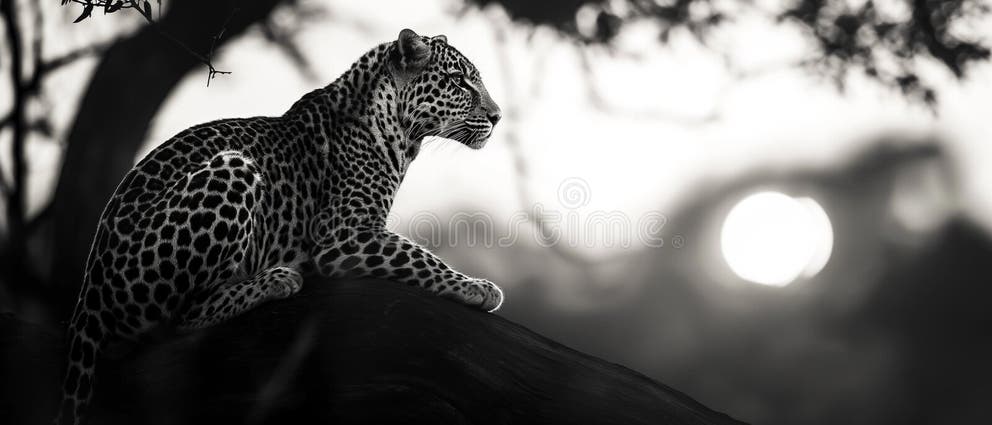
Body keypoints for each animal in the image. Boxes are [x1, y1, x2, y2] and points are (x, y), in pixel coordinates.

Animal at [54, 29, 504, 425]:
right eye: (460, 82)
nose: (497, 117)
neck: (400, 132)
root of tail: (88, 289)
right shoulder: (343, 234)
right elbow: (418, 256)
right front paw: (477, 287)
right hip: (233, 169)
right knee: (182, 318)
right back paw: (275, 279)